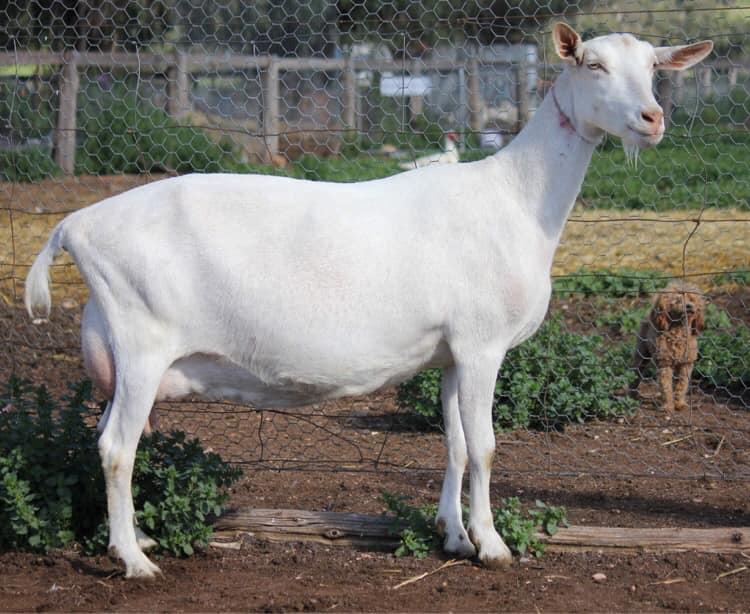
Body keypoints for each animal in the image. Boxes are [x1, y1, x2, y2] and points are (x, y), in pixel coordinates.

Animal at [25, 24, 712, 578]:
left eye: (654, 66)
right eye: (591, 64)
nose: (652, 118)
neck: (516, 198)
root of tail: (74, 226)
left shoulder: (451, 354)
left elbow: (454, 442)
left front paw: (453, 536)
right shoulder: (482, 343)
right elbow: (486, 444)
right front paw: (492, 546)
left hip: (124, 355)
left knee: (111, 440)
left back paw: (136, 539)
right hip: (143, 344)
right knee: (117, 449)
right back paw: (135, 561)